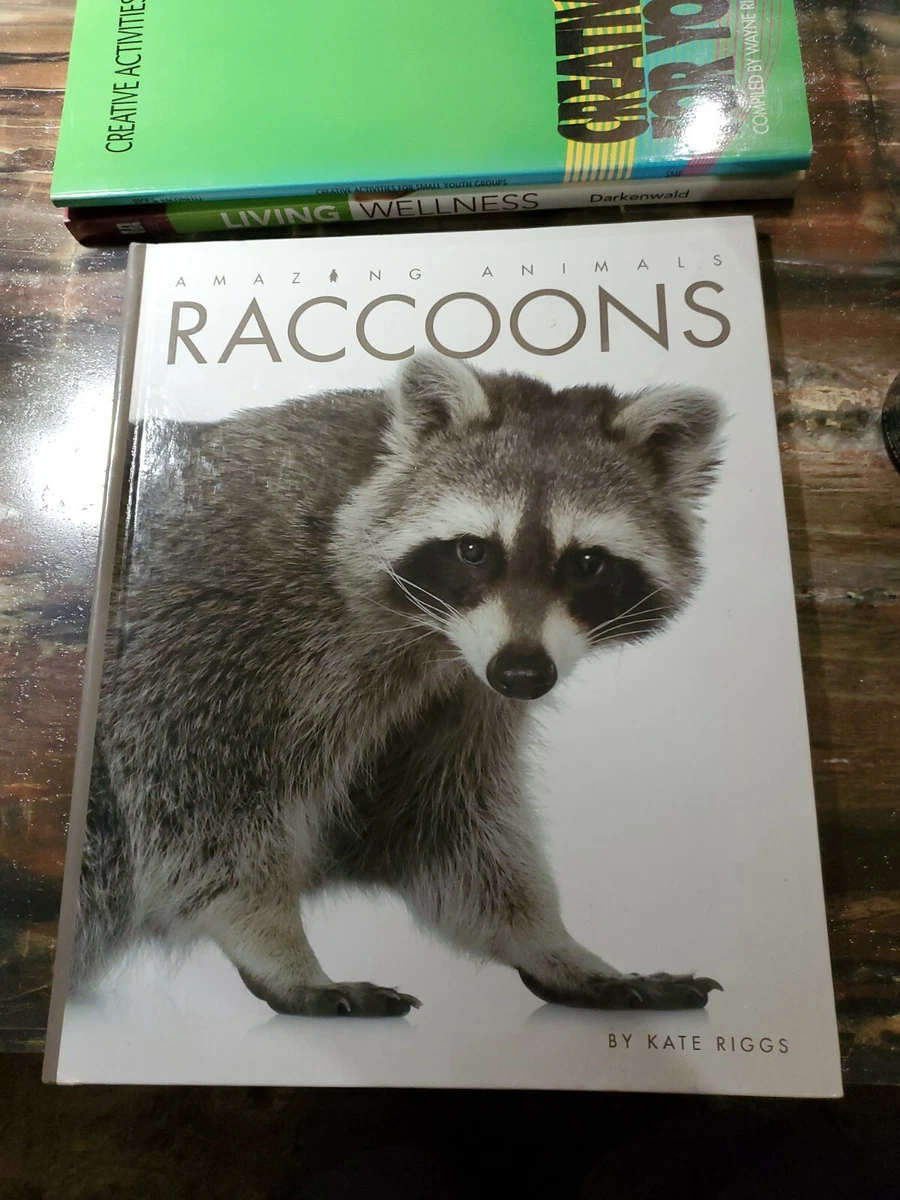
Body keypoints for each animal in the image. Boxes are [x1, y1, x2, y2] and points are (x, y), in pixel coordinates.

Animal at [74, 353, 724, 1017]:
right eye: (473, 550)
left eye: (587, 563)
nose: (522, 672)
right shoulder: (217, 624)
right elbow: (196, 796)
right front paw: (270, 937)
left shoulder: (462, 693)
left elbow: (449, 827)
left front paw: (547, 942)